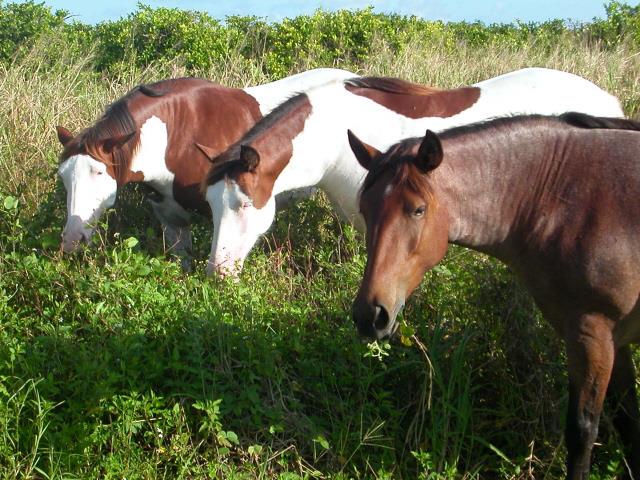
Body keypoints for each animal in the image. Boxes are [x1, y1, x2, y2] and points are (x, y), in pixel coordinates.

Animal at [348, 112, 640, 479]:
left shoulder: (592, 336)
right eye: (364, 209)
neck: (564, 198)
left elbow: (582, 432)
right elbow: (629, 424)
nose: (370, 315)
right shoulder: (615, 340)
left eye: (417, 210)